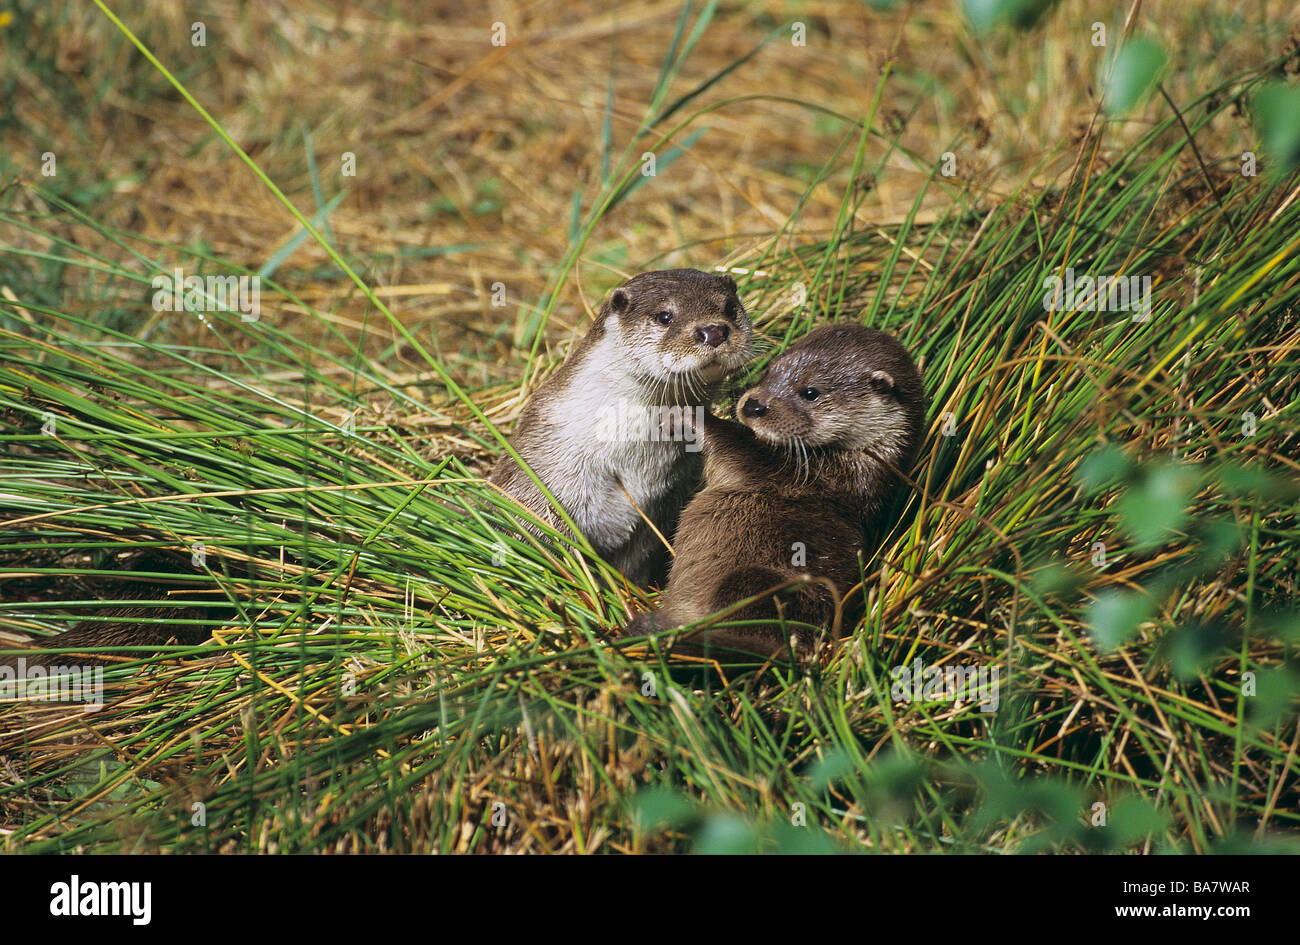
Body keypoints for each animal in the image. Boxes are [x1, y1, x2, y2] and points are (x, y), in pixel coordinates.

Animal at [619, 324, 925, 658]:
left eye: (810, 393)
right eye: (769, 371)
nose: (753, 405)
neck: (854, 462)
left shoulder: (796, 473)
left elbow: (731, 444)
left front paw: (690, 415)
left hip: (756, 582)